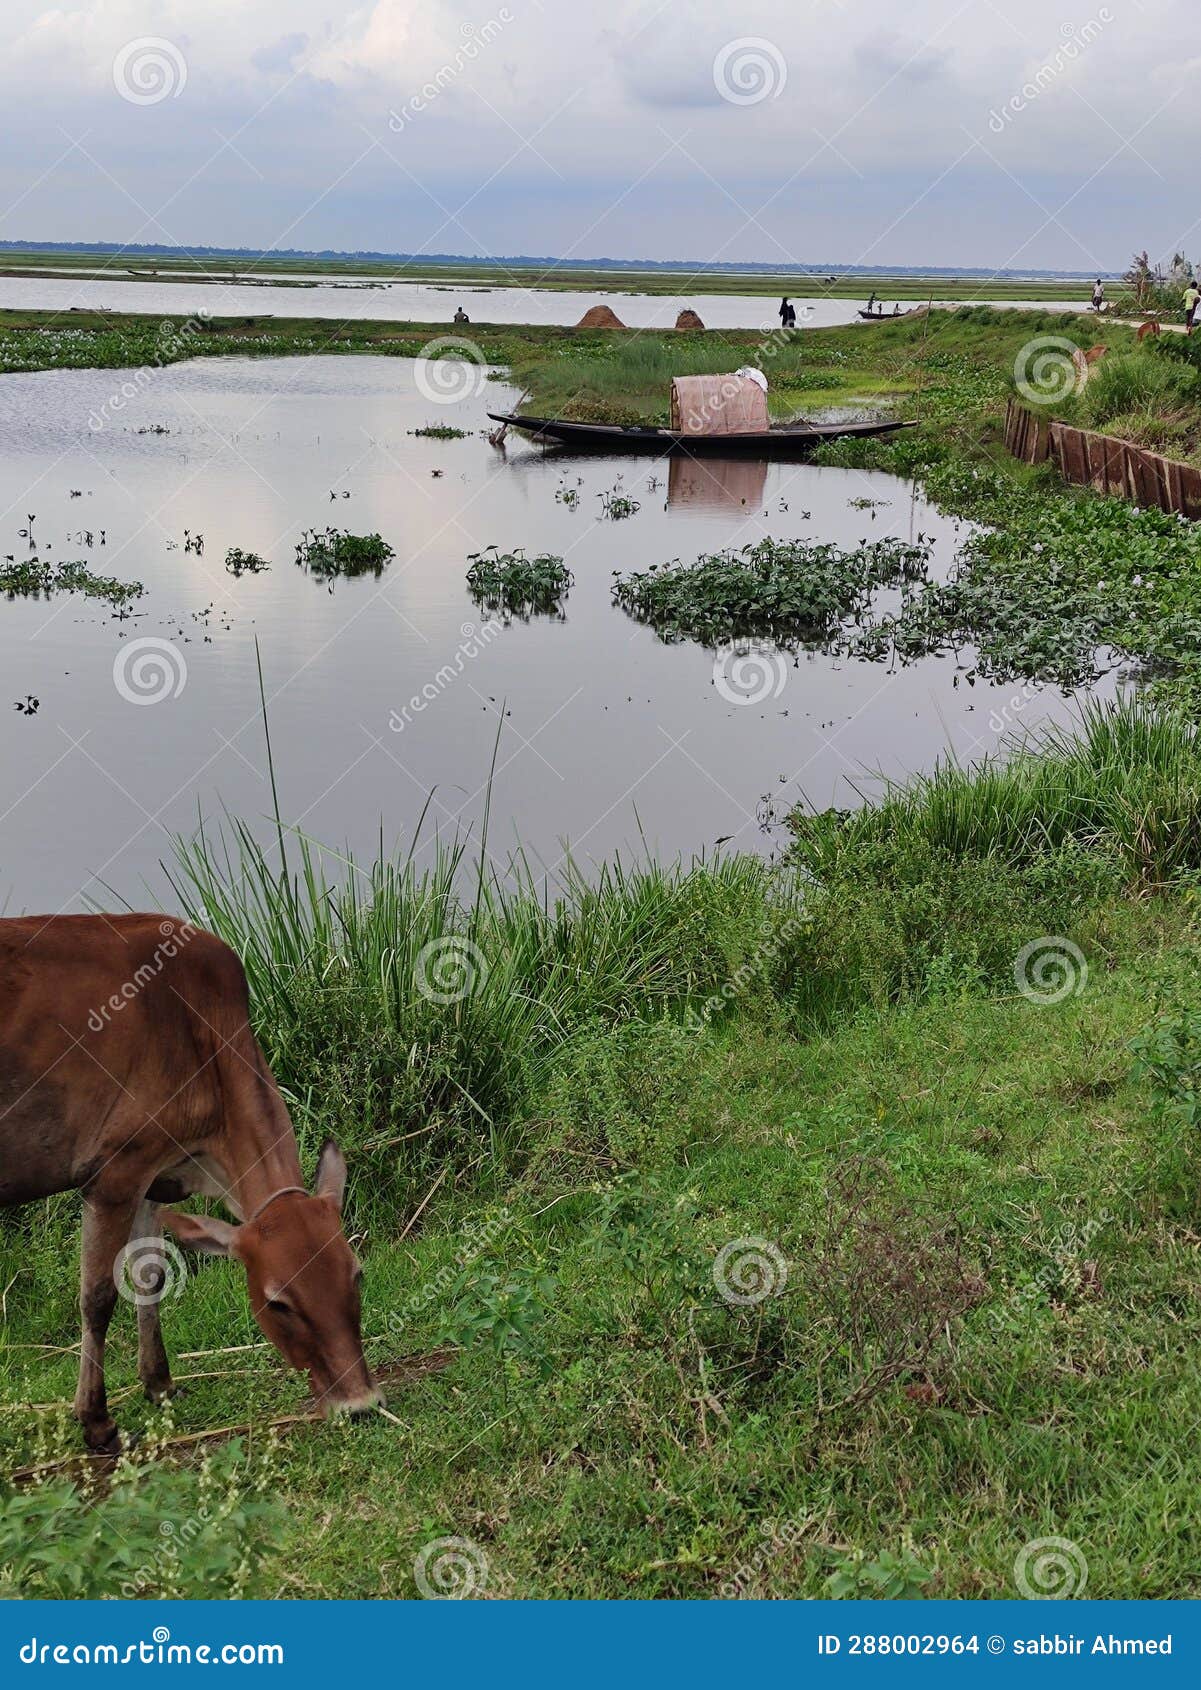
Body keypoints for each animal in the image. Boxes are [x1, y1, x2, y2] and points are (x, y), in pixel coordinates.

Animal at [0, 914, 381, 1452]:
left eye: (357, 1274)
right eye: (278, 1302)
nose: (360, 1403)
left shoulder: (155, 1176)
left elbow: (150, 1276)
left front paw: (159, 1384)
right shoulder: (114, 1172)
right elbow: (98, 1296)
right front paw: (96, 1420)